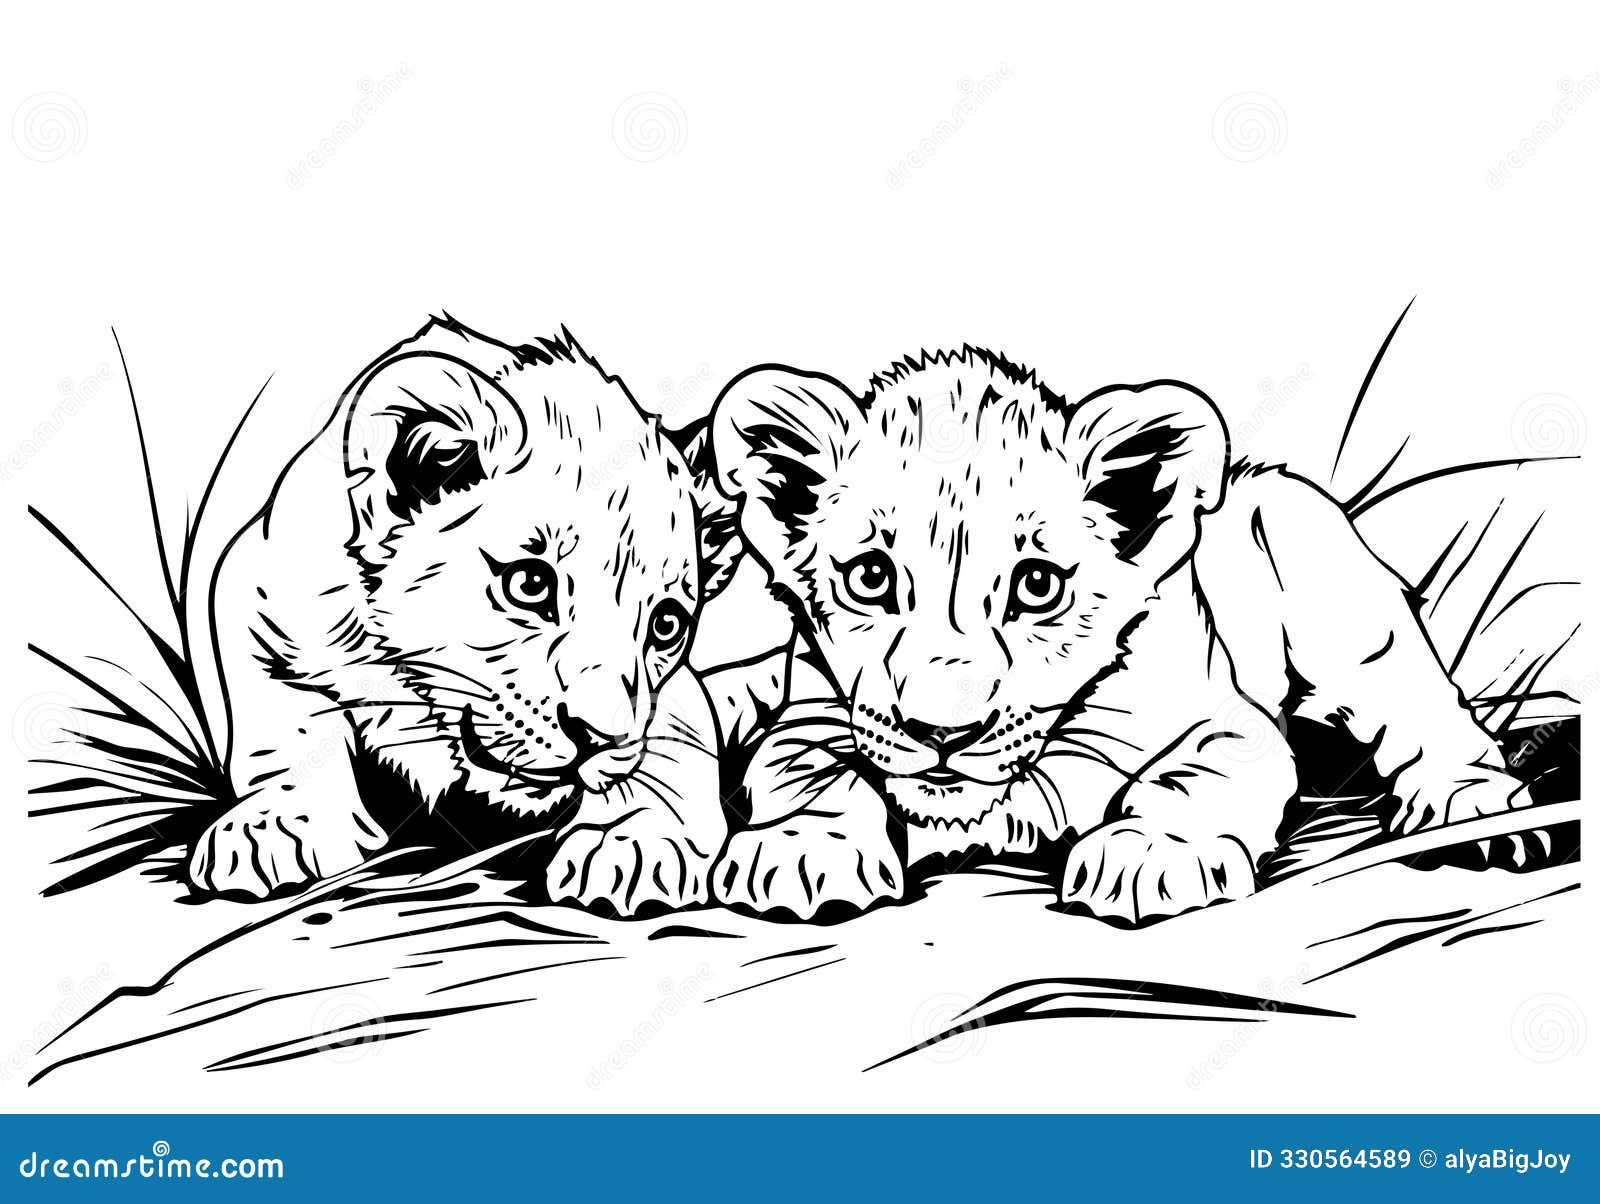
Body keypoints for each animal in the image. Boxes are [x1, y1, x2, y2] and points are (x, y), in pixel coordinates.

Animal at [190, 317, 739, 914]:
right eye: (529, 584)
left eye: (666, 625)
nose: (600, 738)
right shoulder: (255, 593)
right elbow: (281, 718)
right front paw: (278, 821)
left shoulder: (671, 695)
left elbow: (673, 748)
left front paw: (629, 840)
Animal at [704, 348, 1531, 924]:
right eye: (871, 577)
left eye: (1038, 585)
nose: (943, 733)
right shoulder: (809, 717)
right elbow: (812, 771)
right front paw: (805, 848)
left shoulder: (1231, 722)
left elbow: (1189, 778)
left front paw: (1150, 856)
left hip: (1328, 575)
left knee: (1420, 702)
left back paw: (1479, 812)